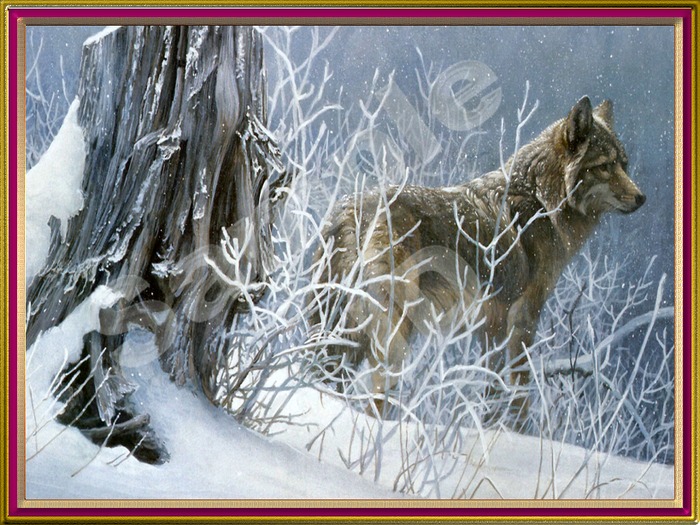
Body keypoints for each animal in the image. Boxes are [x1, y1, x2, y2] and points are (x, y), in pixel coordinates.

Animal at [309, 96, 645, 423]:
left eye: (625, 164)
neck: (541, 200)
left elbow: (491, 382)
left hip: (345, 333)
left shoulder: (492, 322)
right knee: (373, 398)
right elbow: (517, 389)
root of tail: (347, 212)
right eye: (606, 166)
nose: (642, 198)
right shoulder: (521, 317)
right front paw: (513, 430)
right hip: (391, 334)